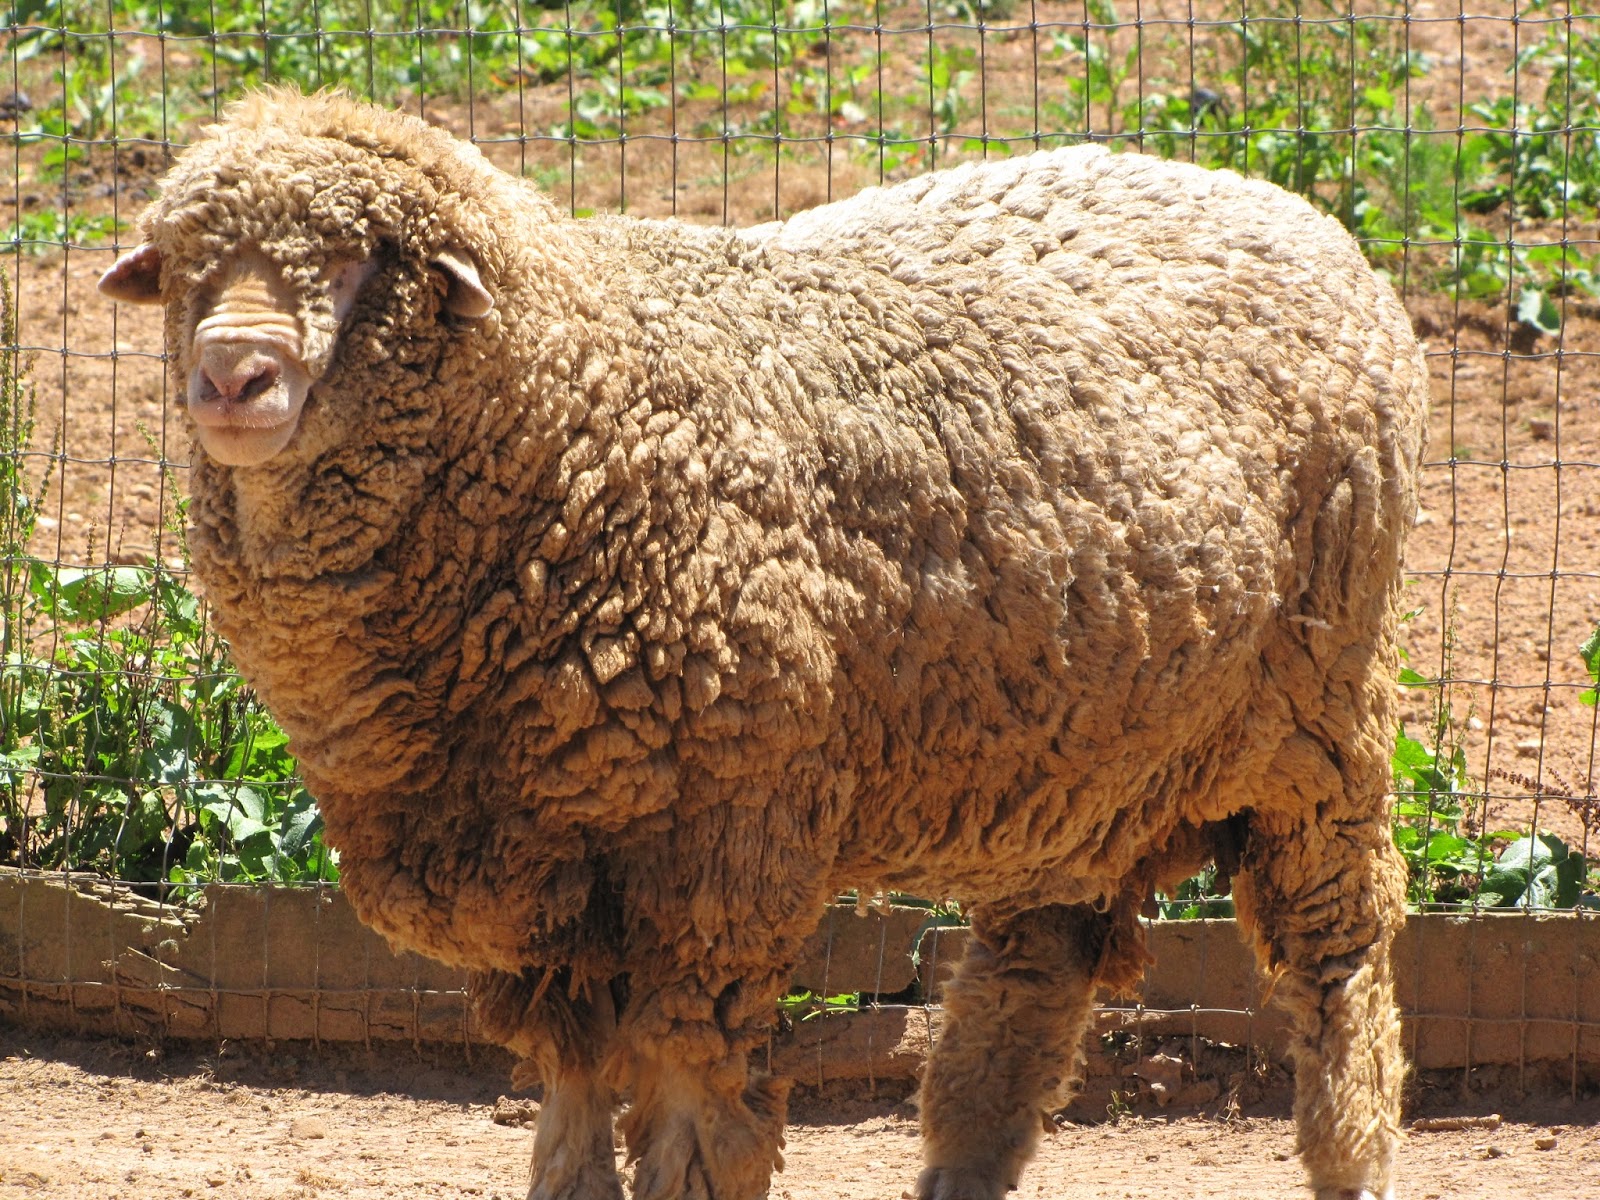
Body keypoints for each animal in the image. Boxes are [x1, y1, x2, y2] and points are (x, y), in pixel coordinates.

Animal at [100, 89, 1427, 1200]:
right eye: (184, 267)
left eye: (358, 258)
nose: (233, 378)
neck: (569, 412)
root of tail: (1278, 199)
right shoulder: (540, 880)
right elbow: (571, 1092)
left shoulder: (721, 853)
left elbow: (695, 1098)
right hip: (1077, 754)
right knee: (1029, 978)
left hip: (1319, 718)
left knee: (1339, 961)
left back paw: (1350, 1154)